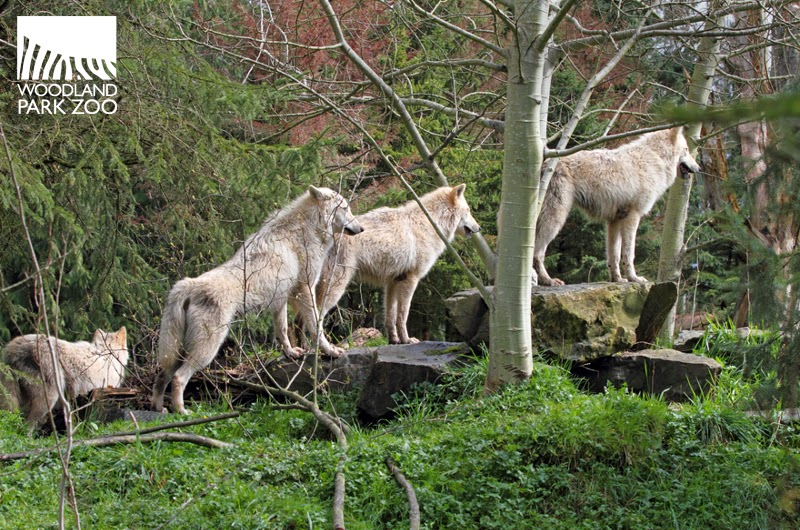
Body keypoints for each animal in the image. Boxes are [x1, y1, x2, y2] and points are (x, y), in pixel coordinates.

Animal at [152, 186, 363, 414]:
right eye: (345, 208)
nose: (362, 228)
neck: (307, 228)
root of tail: (188, 286)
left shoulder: (280, 299)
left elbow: (283, 331)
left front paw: (291, 353)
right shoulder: (305, 289)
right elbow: (316, 327)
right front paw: (330, 350)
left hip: (177, 350)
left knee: (162, 375)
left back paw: (159, 409)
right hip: (206, 350)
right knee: (178, 377)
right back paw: (181, 411)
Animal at [312, 184, 480, 348]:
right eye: (468, 210)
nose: (479, 228)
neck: (429, 224)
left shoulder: (392, 282)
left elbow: (391, 316)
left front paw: (394, 341)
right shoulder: (411, 279)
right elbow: (403, 315)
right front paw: (406, 340)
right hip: (336, 286)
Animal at [533, 127, 701, 286]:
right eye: (686, 150)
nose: (699, 169)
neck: (654, 159)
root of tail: (544, 163)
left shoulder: (614, 220)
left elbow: (614, 255)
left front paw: (617, 279)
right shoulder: (633, 216)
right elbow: (629, 253)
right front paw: (634, 278)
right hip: (556, 219)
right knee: (537, 253)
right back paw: (548, 281)